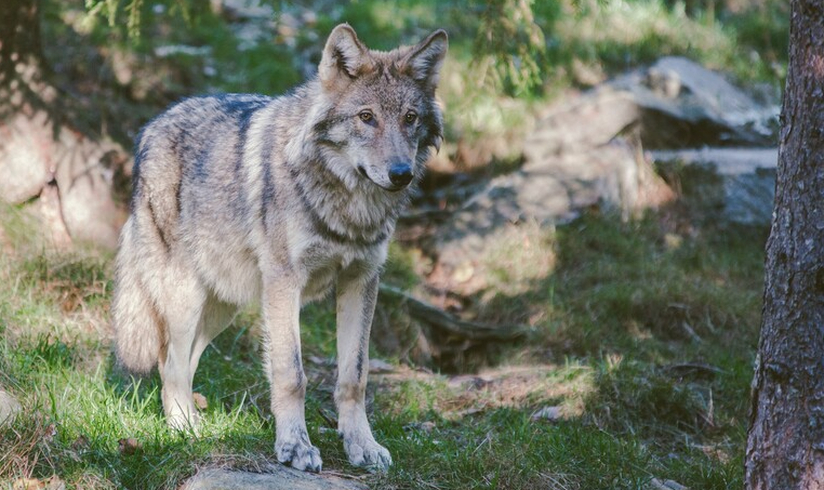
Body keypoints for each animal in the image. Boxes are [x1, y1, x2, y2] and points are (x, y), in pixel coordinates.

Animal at [110, 24, 447, 472]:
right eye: (366, 117)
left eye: (410, 118)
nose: (401, 174)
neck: (349, 206)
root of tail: (151, 127)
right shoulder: (286, 283)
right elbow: (292, 375)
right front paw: (295, 447)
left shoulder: (361, 281)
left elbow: (354, 376)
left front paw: (362, 445)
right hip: (186, 297)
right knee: (170, 364)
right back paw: (184, 430)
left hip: (224, 305)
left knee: (186, 361)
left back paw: (198, 424)